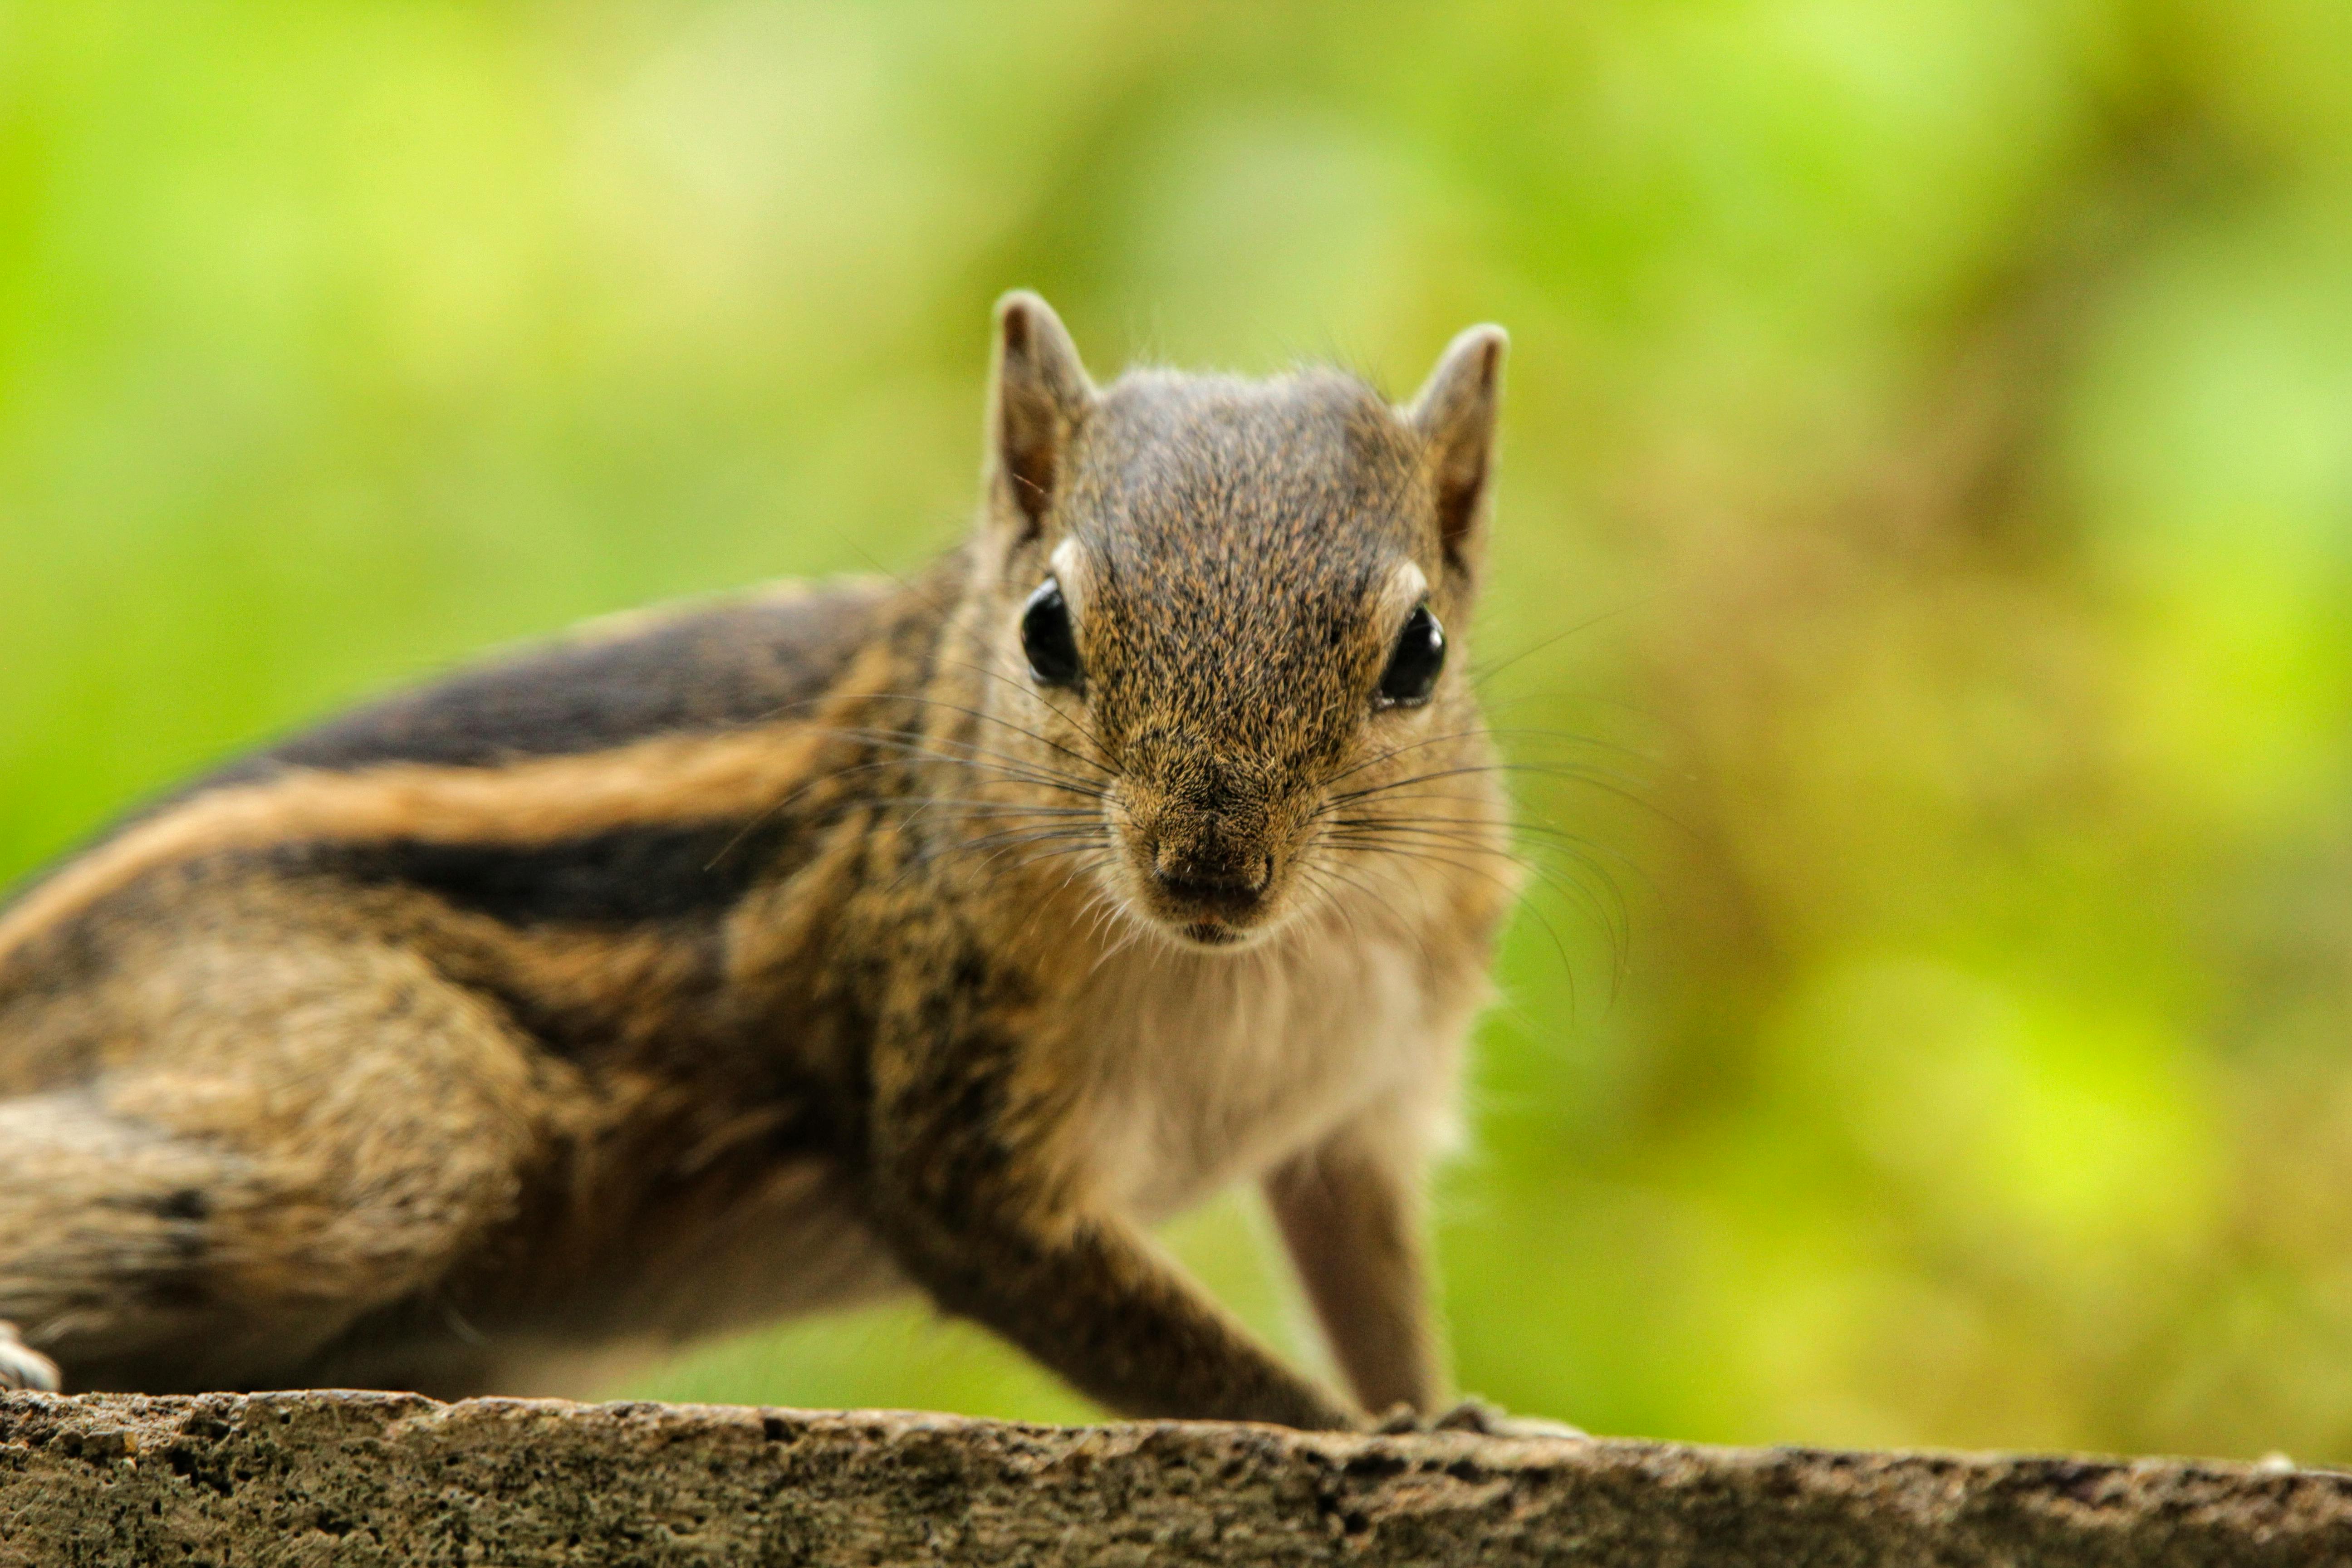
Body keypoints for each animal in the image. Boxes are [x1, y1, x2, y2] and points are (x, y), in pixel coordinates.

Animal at [0, 293, 1519, 1432]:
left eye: (1421, 651)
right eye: (1045, 629)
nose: (1208, 871)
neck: (1269, 963)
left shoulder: (1359, 1111)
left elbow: (1371, 1280)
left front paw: (1460, 1417)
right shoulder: (952, 1101)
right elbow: (1134, 1321)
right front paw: (1376, 1440)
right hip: (381, 1115)